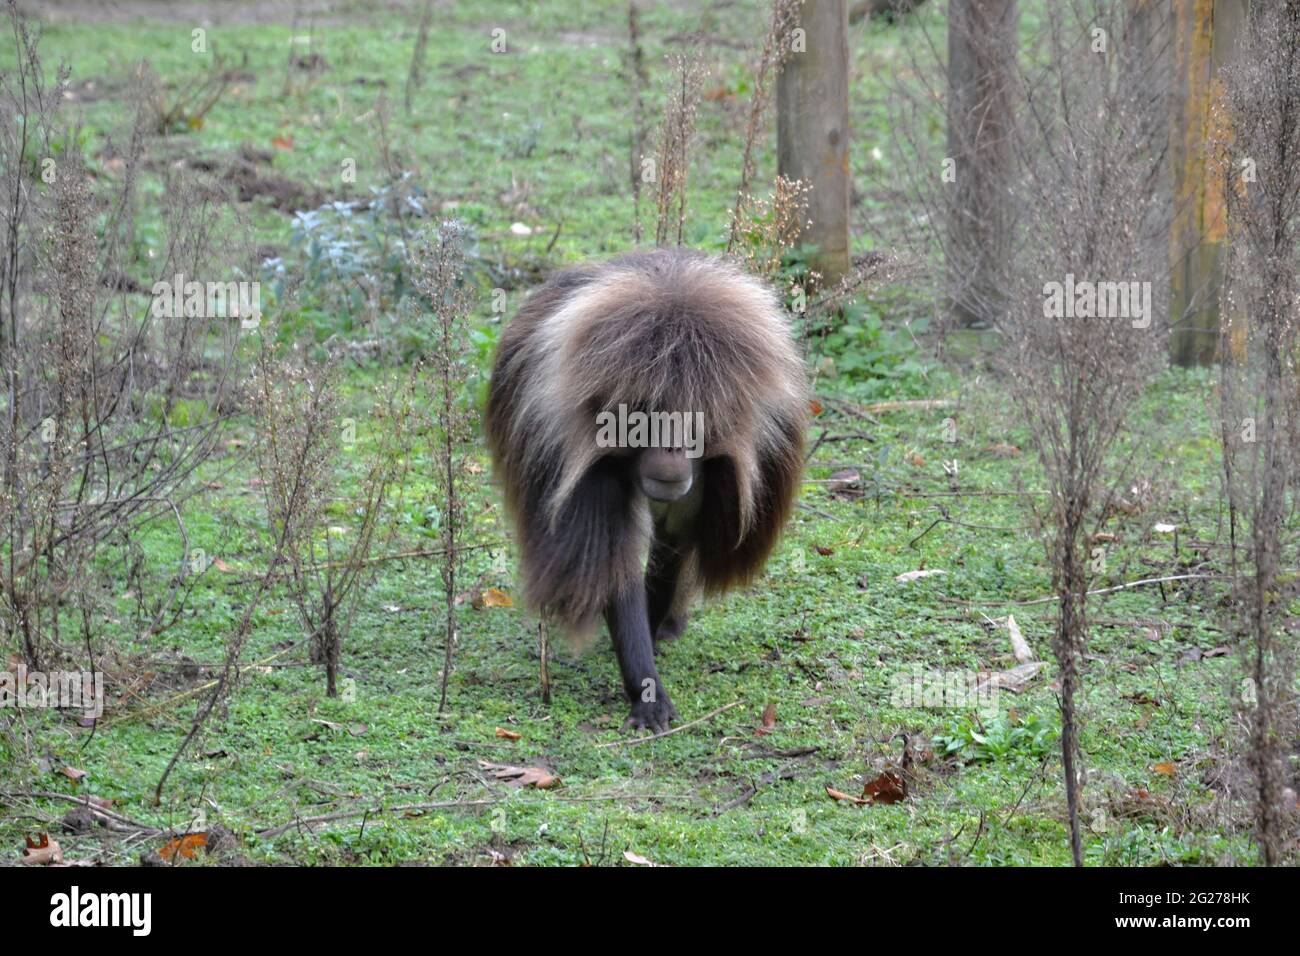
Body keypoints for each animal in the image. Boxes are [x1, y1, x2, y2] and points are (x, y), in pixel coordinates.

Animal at [485, 248, 807, 732]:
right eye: (649, 414)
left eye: (690, 418)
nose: (671, 456)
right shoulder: (597, 471)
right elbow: (617, 570)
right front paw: (646, 690)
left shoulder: (701, 476)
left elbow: (670, 548)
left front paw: (653, 641)